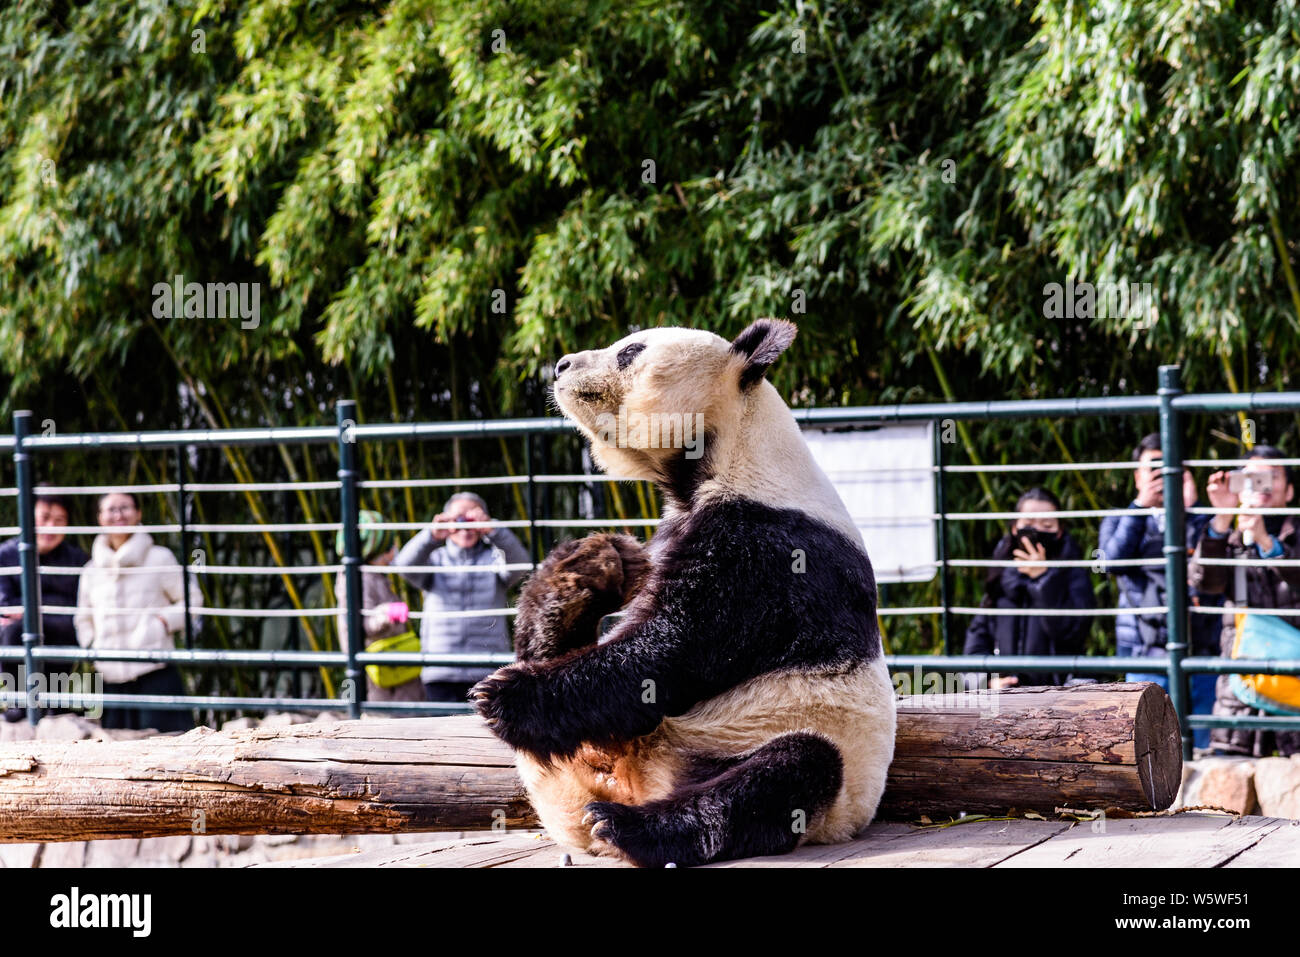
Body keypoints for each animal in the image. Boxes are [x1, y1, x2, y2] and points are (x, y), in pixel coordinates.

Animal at [472, 319, 896, 867]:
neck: (735, 452)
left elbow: (672, 649)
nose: (562, 365)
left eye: (630, 351)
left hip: (789, 747)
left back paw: (630, 828)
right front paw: (592, 565)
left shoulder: (769, 549)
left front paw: (501, 696)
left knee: (788, 773)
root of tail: (638, 781)